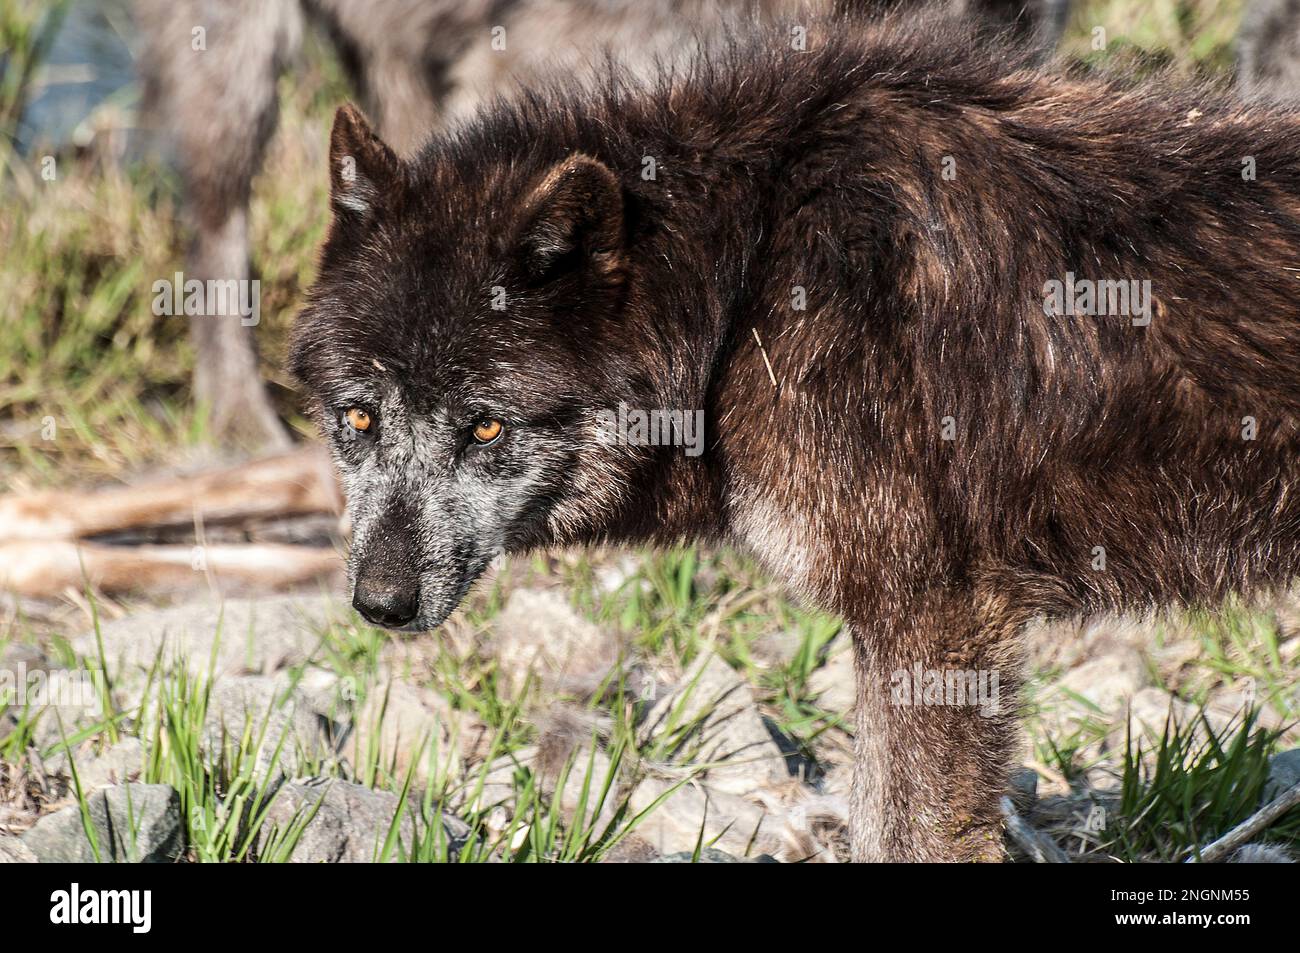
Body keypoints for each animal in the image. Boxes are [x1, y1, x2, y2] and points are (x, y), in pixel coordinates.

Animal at [290, 8, 1300, 862]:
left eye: (486, 424)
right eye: (359, 416)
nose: (379, 603)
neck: (750, 279)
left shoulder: (931, 620)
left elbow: (908, 834)